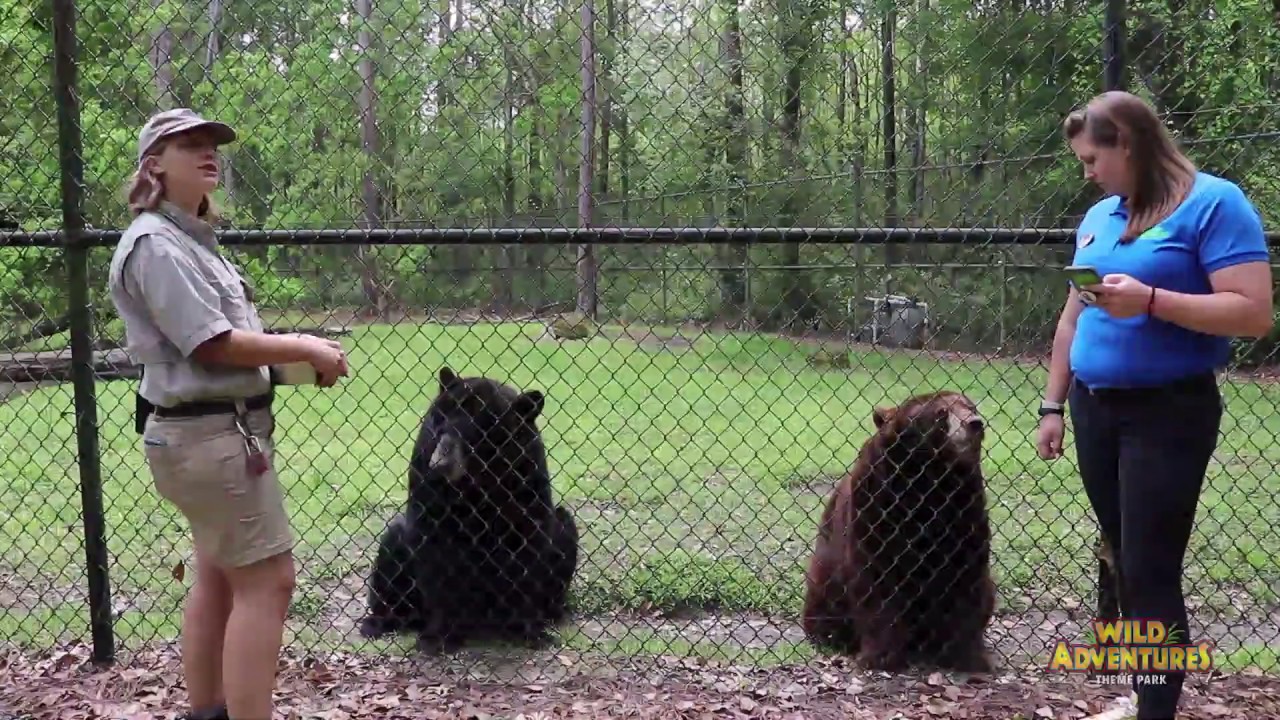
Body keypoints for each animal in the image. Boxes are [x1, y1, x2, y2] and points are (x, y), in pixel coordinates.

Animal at [358, 367, 579, 653]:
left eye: (477, 435)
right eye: (439, 423)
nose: (439, 464)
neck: (477, 479)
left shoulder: (527, 482)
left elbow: (528, 555)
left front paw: (531, 631)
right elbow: (437, 565)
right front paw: (436, 637)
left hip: (562, 526)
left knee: (564, 524)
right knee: (393, 544)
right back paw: (378, 622)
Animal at [801, 389, 997, 673]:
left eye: (970, 406)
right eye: (941, 412)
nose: (975, 423)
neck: (928, 478)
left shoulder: (965, 502)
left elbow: (965, 574)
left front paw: (968, 656)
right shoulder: (877, 502)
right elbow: (877, 578)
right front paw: (880, 656)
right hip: (826, 578)